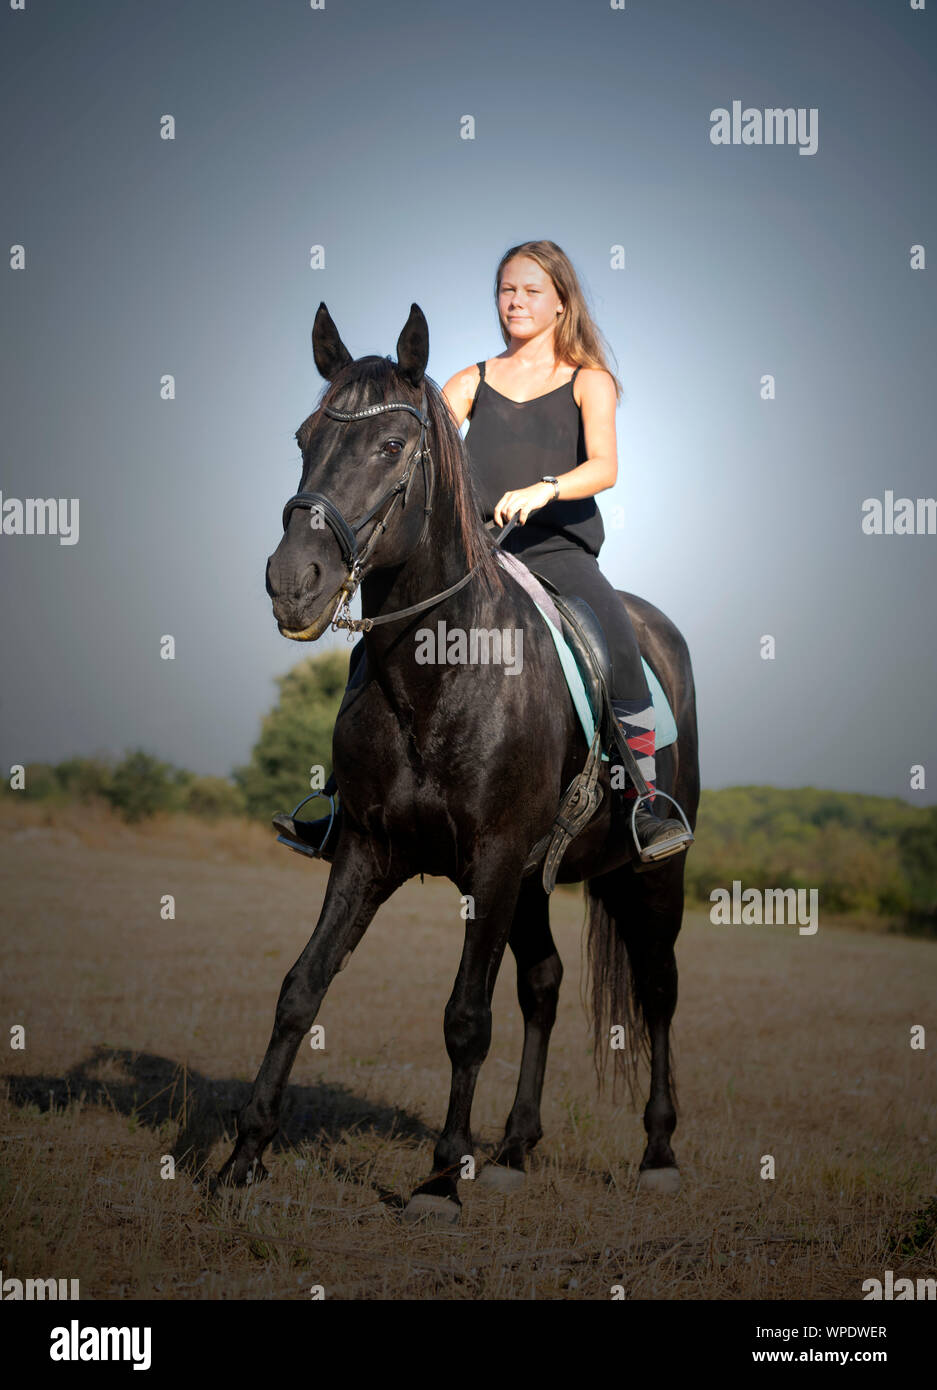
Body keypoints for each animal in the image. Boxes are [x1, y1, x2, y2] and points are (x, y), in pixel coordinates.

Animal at [216, 302, 700, 1222]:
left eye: (390, 447)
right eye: (303, 437)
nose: (293, 581)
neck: (438, 673)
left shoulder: (493, 860)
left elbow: (464, 1018)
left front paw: (442, 1178)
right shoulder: (369, 852)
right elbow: (301, 988)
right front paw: (242, 1158)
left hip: (649, 873)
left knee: (657, 990)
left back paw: (658, 1153)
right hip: (536, 882)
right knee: (543, 982)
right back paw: (513, 1147)